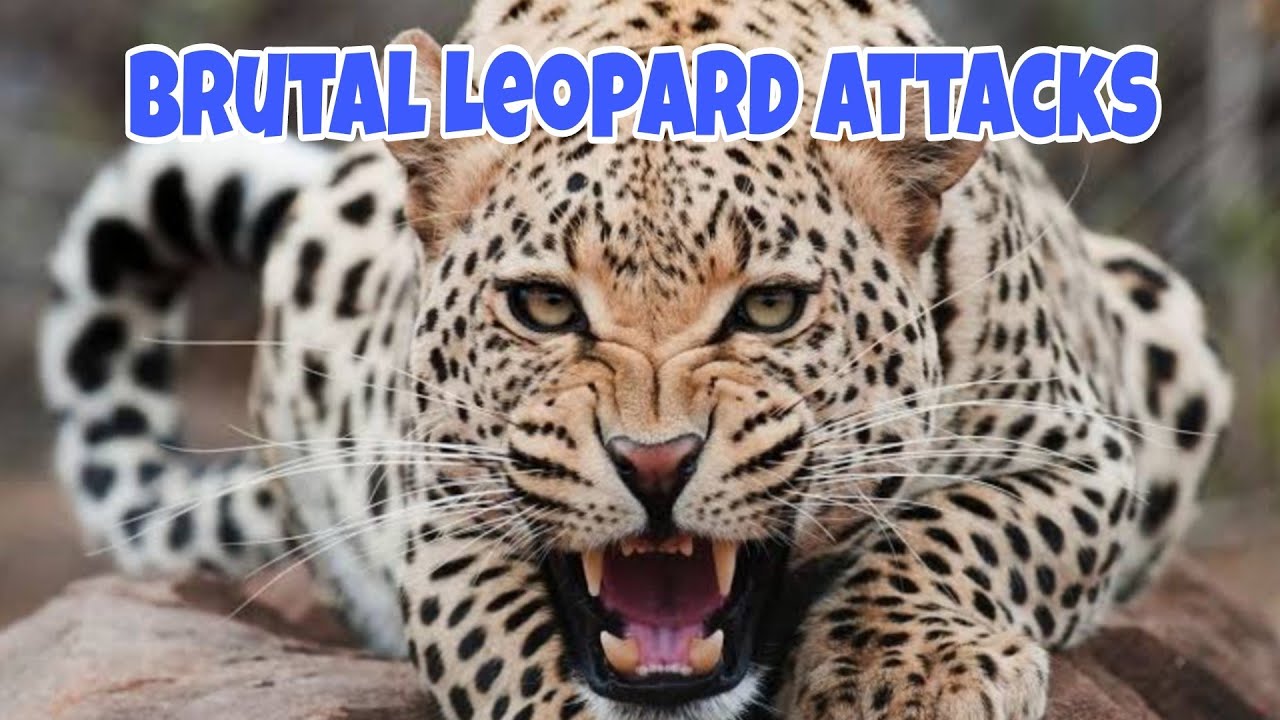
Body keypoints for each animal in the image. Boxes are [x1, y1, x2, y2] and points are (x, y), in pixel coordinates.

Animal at [39, 0, 1233, 719]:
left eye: (769, 308)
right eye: (540, 305)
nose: (654, 464)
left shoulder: (1079, 449)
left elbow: (960, 531)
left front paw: (903, 675)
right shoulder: (436, 515)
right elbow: (510, 646)